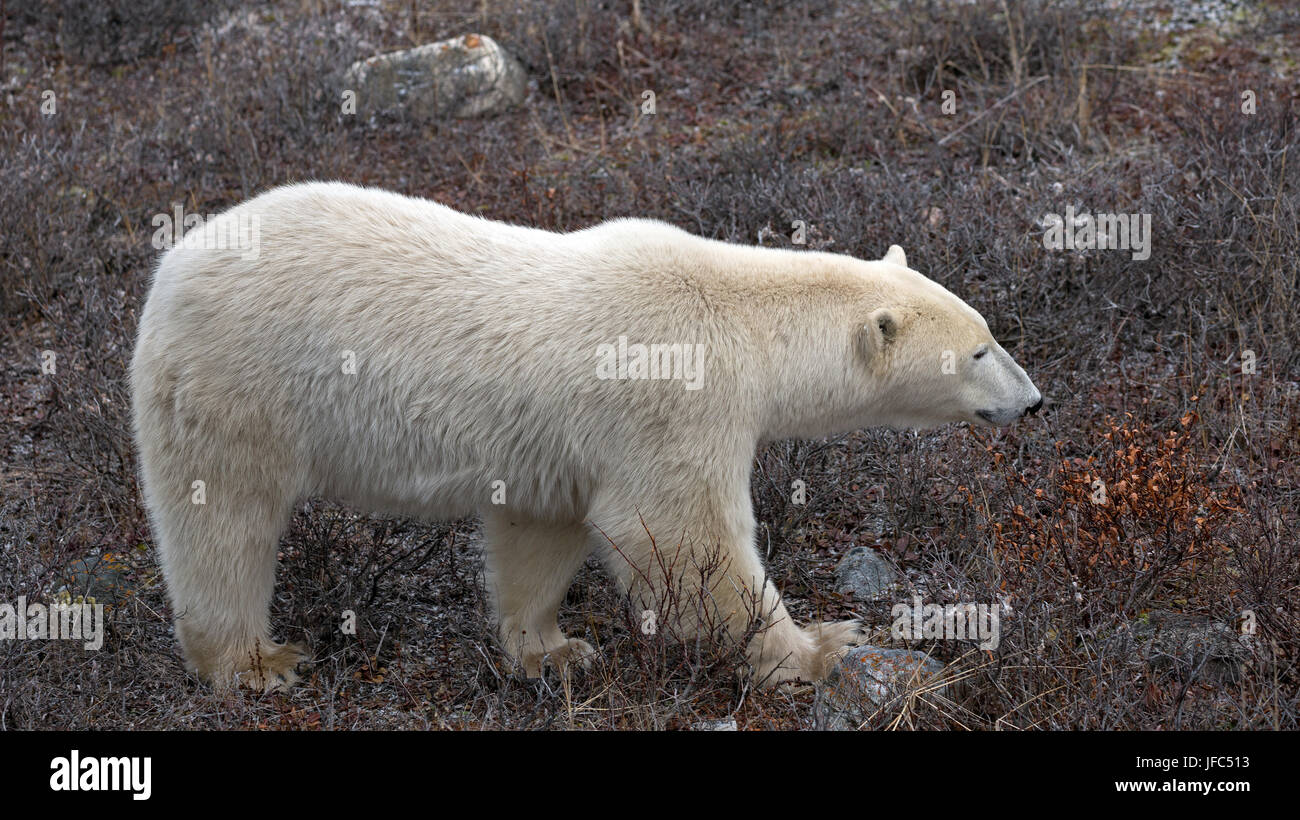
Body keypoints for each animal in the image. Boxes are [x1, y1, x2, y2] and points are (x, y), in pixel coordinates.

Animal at [130, 181, 1042, 691]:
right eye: (978, 349)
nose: (1033, 401)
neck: (741, 318)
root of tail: (171, 264)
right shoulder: (673, 402)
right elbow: (682, 535)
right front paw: (821, 648)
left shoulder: (562, 445)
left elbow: (542, 532)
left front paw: (553, 650)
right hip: (239, 385)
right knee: (225, 524)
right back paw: (253, 662)